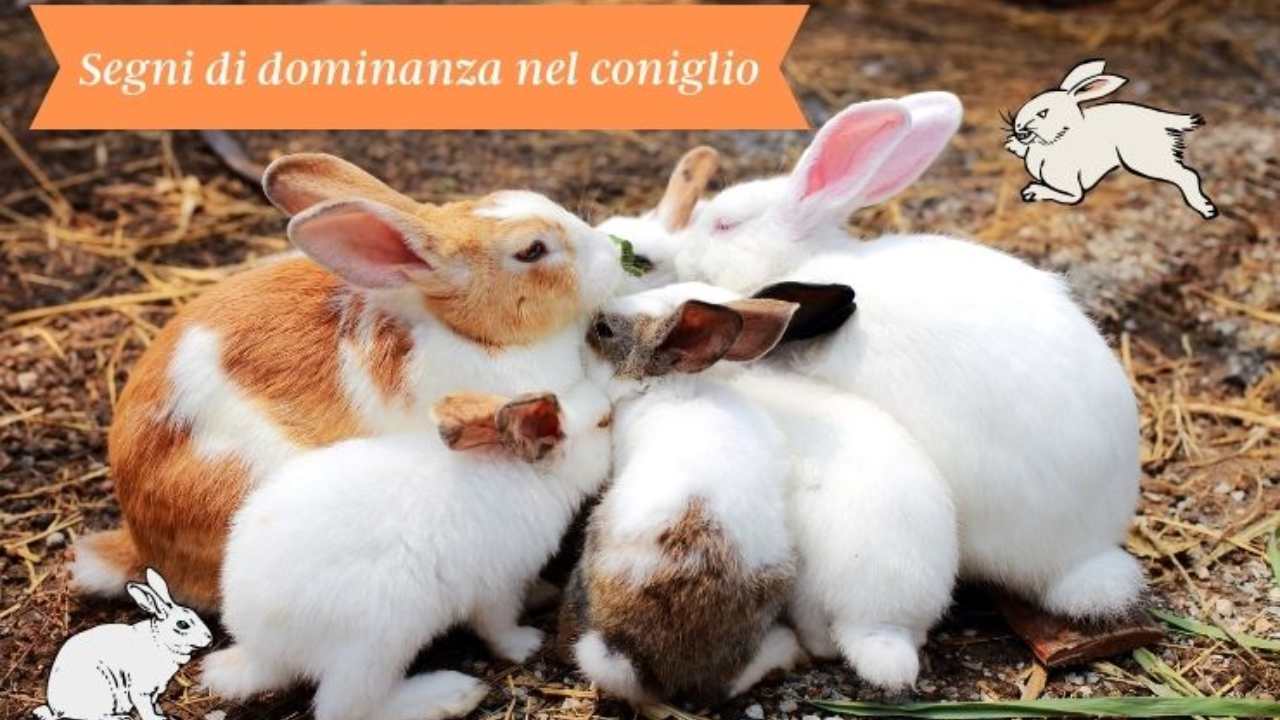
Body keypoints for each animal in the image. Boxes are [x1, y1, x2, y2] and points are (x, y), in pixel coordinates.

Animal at [34, 569, 212, 720]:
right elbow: (145, 708)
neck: (159, 640)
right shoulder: (141, 690)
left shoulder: (156, 690)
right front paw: (157, 718)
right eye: (182, 624)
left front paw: (160, 712)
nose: (209, 638)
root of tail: (56, 709)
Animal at [201, 383, 614, 720]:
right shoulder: (497, 586)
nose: (611, 407)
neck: (530, 475)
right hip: (379, 638)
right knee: (345, 708)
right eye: (603, 423)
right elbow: (497, 626)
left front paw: (542, 593)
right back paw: (452, 695)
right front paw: (527, 643)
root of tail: (261, 649)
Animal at [1003, 59, 1216, 218]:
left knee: (1187, 175)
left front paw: (1032, 192)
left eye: (1043, 113)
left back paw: (1206, 209)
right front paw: (1013, 145)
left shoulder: (1072, 188)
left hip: (1143, 161)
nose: (1019, 130)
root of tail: (1165, 119)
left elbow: (1071, 197)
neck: (1057, 140)